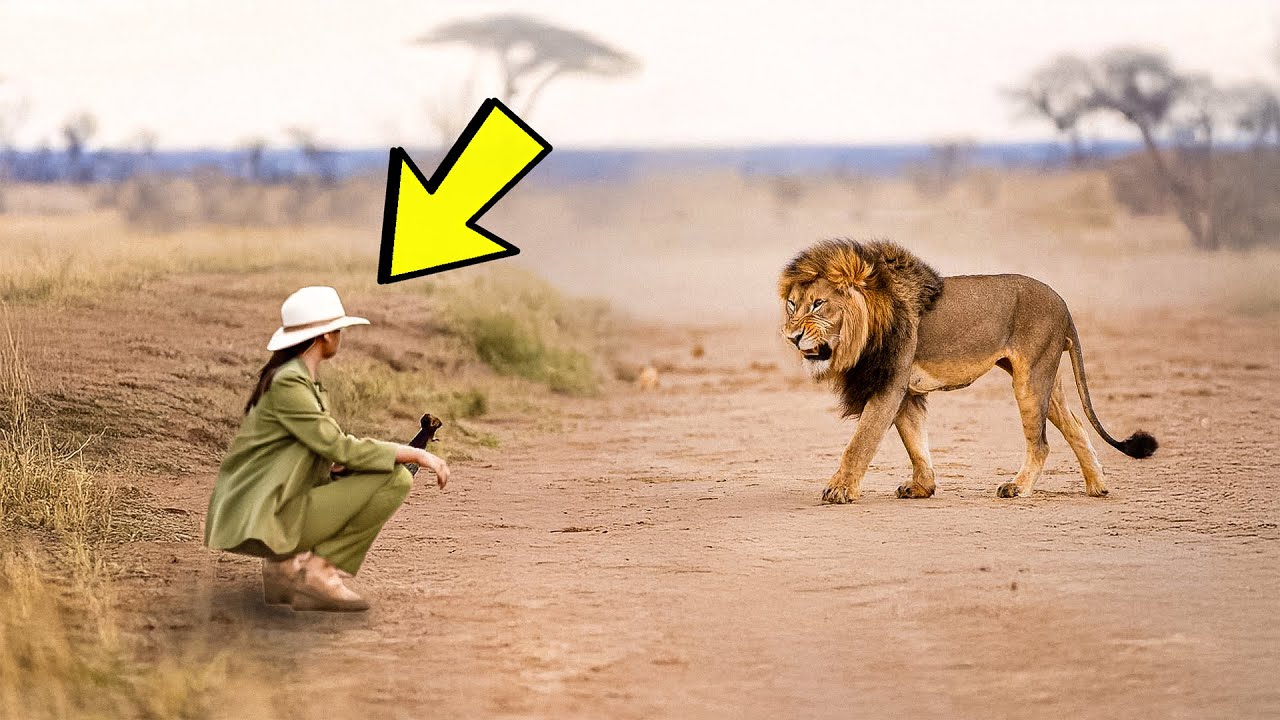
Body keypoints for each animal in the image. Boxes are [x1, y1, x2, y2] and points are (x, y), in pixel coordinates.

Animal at [778, 239, 1157, 504]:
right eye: (792, 305)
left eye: (818, 304)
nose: (791, 336)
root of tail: (1063, 304)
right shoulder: (905, 391)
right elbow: (915, 442)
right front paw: (922, 487)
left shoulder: (889, 386)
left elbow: (861, 442)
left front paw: (839, 490)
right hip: (1048, 378)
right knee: (1076, 427)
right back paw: (1098, 486)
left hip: (1030, 379)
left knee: (1041, 444)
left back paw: (1018, 487)